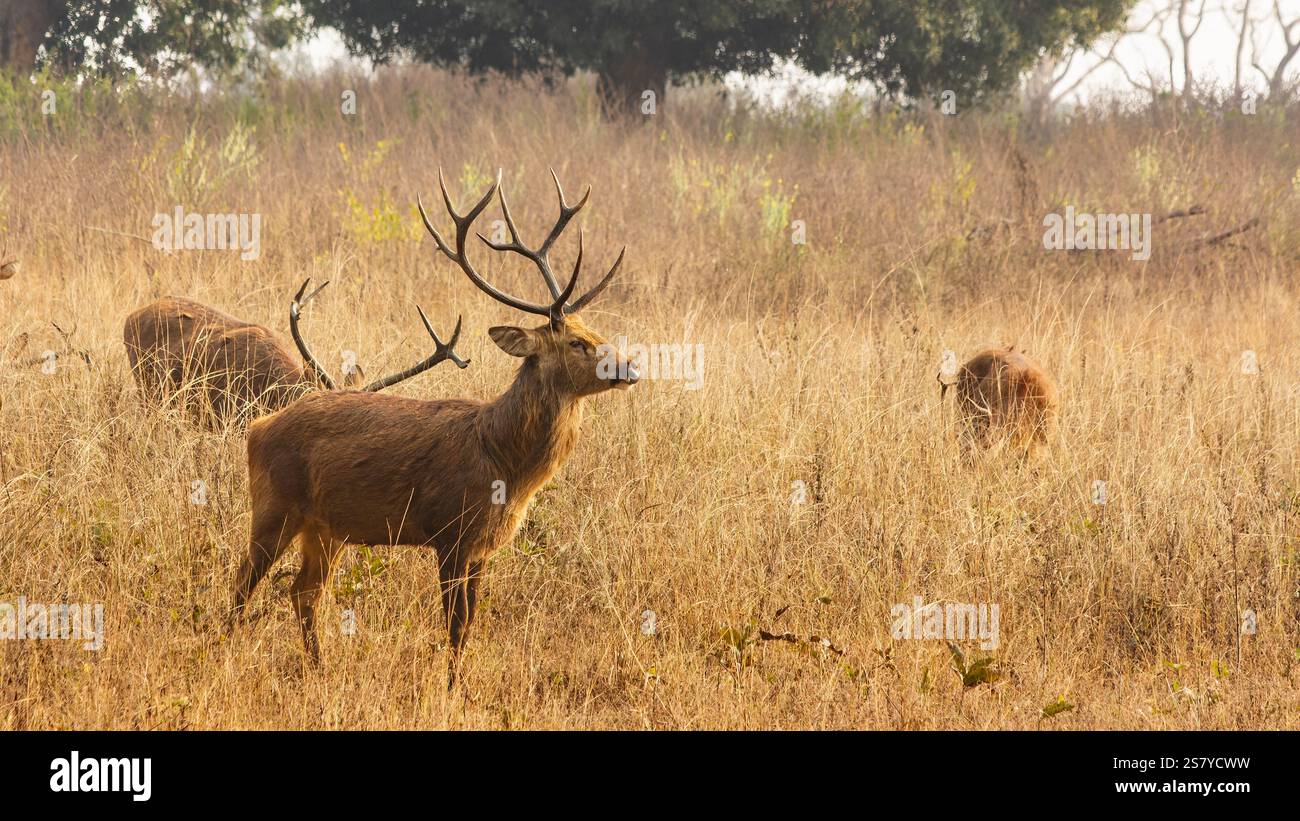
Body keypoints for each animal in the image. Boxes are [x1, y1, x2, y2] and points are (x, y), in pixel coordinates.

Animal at [227, 168, 639, 685]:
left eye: (596, 332)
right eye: (576, 342)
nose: (631, 367)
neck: (504, 462)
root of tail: (258, 428)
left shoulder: (482, 548)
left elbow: (470, 624)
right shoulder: (450, 533)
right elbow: (455, 626)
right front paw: (451, 687)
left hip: (326, 528)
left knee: (304, 592)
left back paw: (320, 669)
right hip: (274, 506)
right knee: (242, 586)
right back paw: (221, 655)